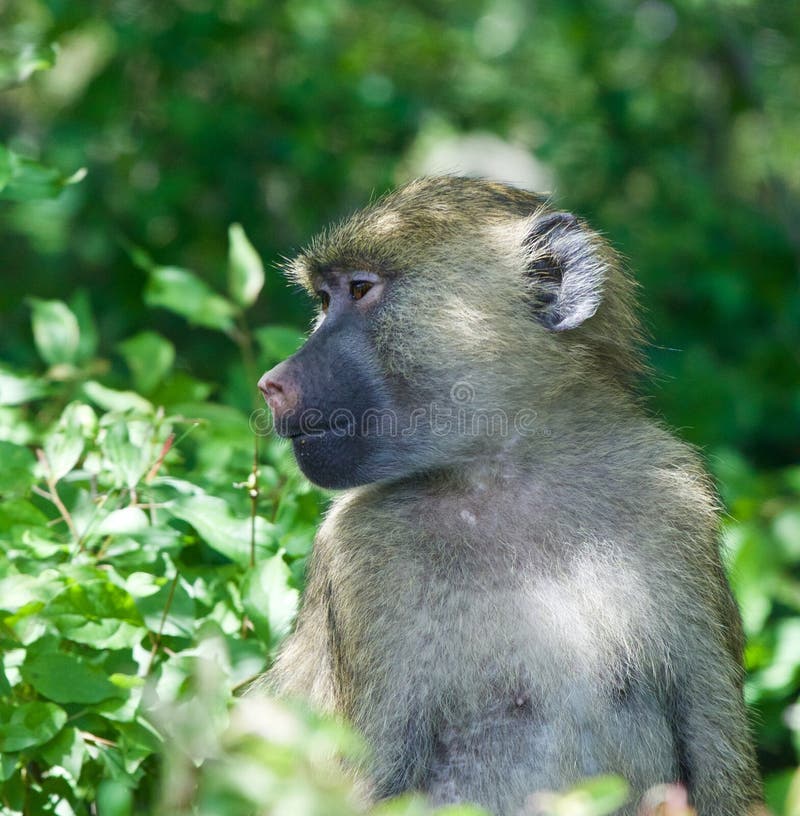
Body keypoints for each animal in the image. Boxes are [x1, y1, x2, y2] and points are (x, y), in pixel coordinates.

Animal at [253, 177, 762, 815]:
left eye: (361, 290)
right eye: (323, 300)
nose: (272, 384)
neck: (508, 473)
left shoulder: (675, 499)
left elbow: (719, 769)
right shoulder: (357, 552)